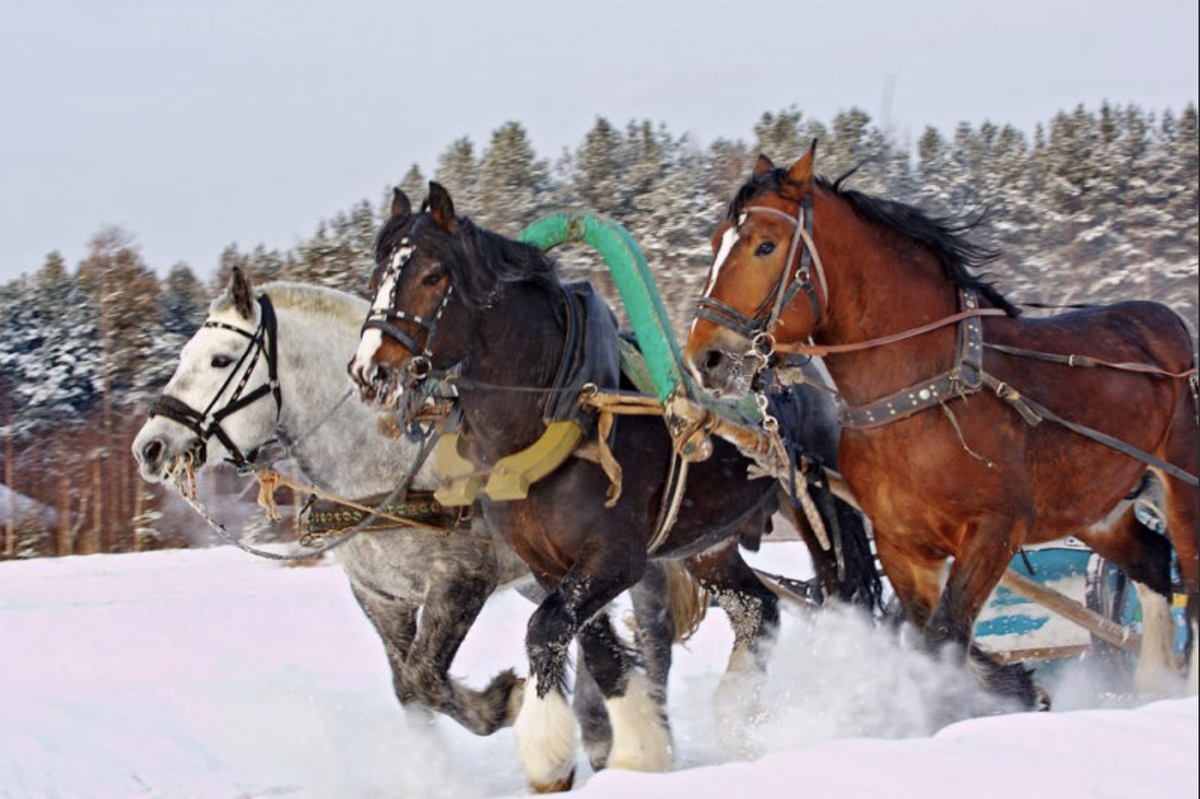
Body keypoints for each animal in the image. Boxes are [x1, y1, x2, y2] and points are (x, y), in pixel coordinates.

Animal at [686, 144, 1200, 705]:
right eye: (714, 242)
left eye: (765, 245)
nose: (706, 358)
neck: (926, 393)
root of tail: (1170, 323)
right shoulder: (903, 545)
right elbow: (926, 642)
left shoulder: (994, 530)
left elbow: (945, 641)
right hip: (1100, 508)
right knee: (1153, 560)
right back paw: (1155, 684)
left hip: (1180, 484)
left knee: (1190, 579)